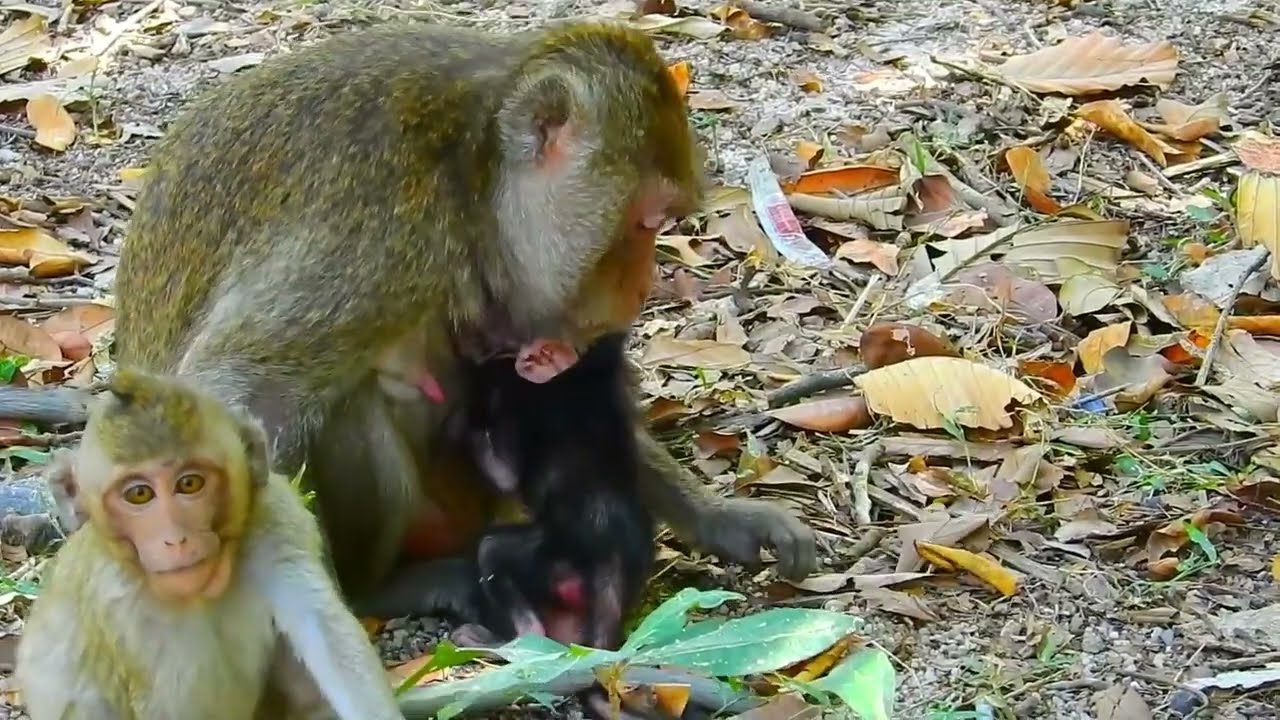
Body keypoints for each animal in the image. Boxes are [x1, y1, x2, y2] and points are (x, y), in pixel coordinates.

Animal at [0, 20, 817, 625]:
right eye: (646, 224)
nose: (644, 284)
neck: (474, 174)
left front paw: (719, 516)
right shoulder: (382, 231)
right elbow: (236, 388)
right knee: (341, 407)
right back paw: (381, 588)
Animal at [14, 369, 405, 720]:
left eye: (189, 484)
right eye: (139, 494)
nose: (175, 538)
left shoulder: (275, 520)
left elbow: (323, 628)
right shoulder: (117, 598)